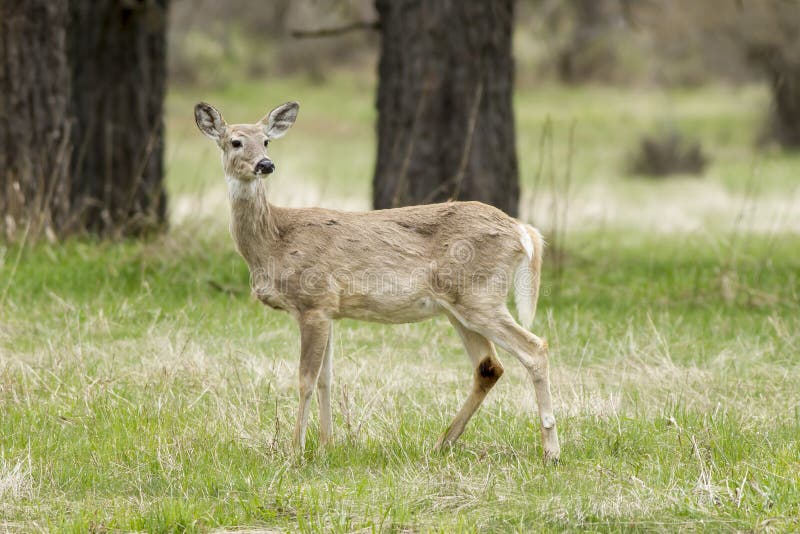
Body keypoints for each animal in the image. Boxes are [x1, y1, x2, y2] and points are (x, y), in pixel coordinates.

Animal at [194, 101, 560, 463]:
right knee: (488, 367)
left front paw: (295, 451)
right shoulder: (328, 310)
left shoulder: (313, 302)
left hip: (479, 295)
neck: (275, 241)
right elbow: (326, 378)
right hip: (459, 306)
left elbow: (305, 379)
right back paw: (441, 444)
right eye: (235, 142)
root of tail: (523, 231)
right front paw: (326, 446)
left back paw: (551, 451)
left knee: (534, 348)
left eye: (267, 141)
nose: (266, 164)